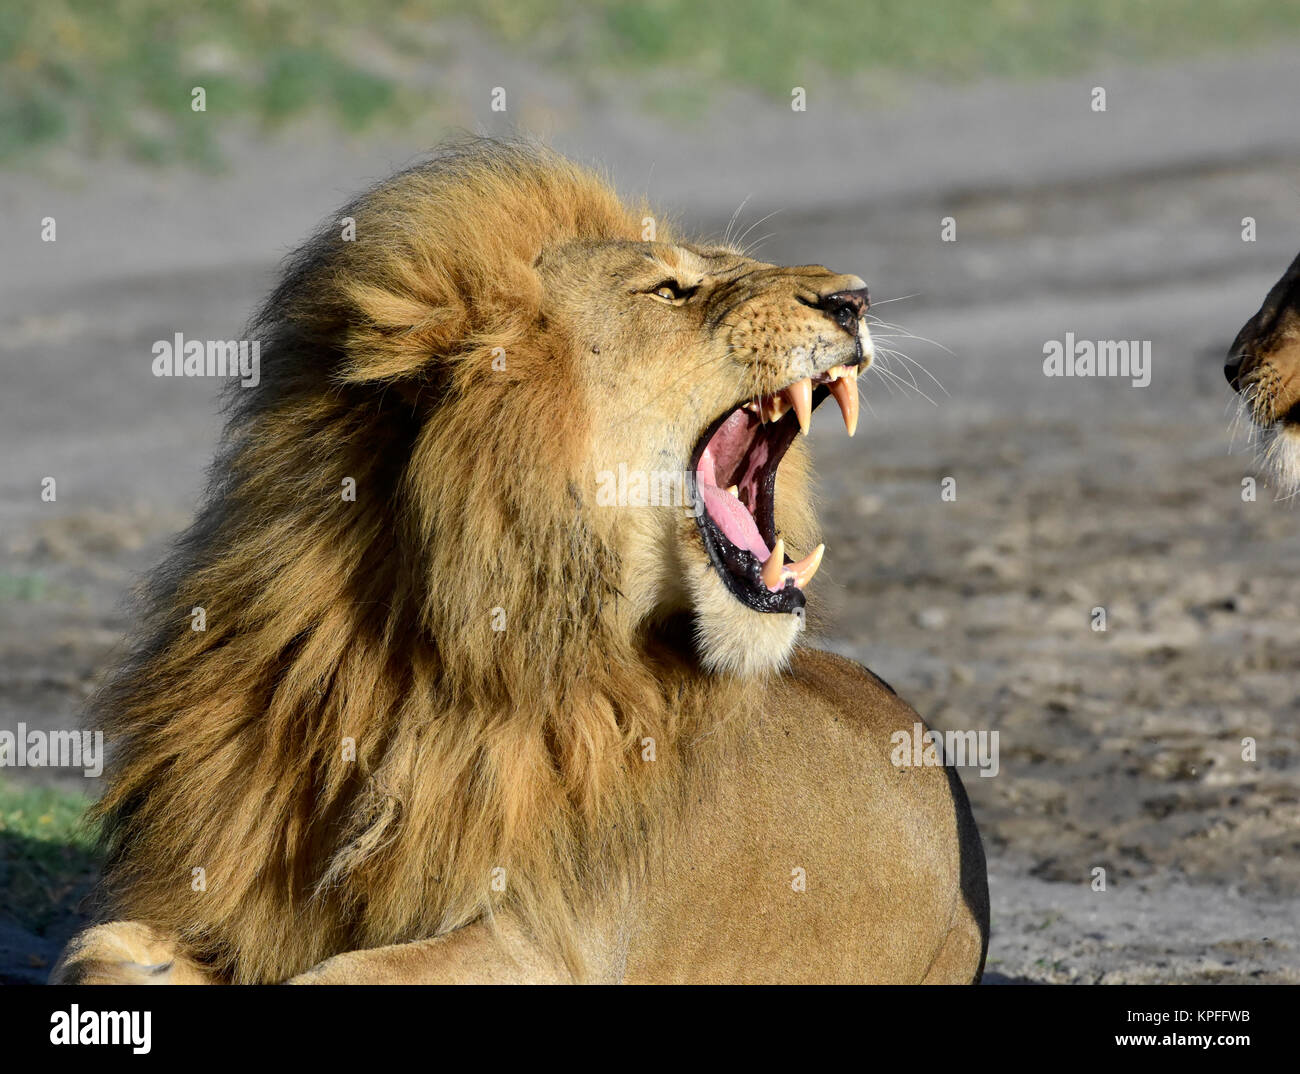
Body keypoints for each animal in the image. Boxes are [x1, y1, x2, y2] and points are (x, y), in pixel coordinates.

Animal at [51, 139, 988, 985]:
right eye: (670, 290)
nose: (854, 298)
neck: (426, 653)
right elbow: (98, 953)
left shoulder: (550, 941)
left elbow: (334, 976)